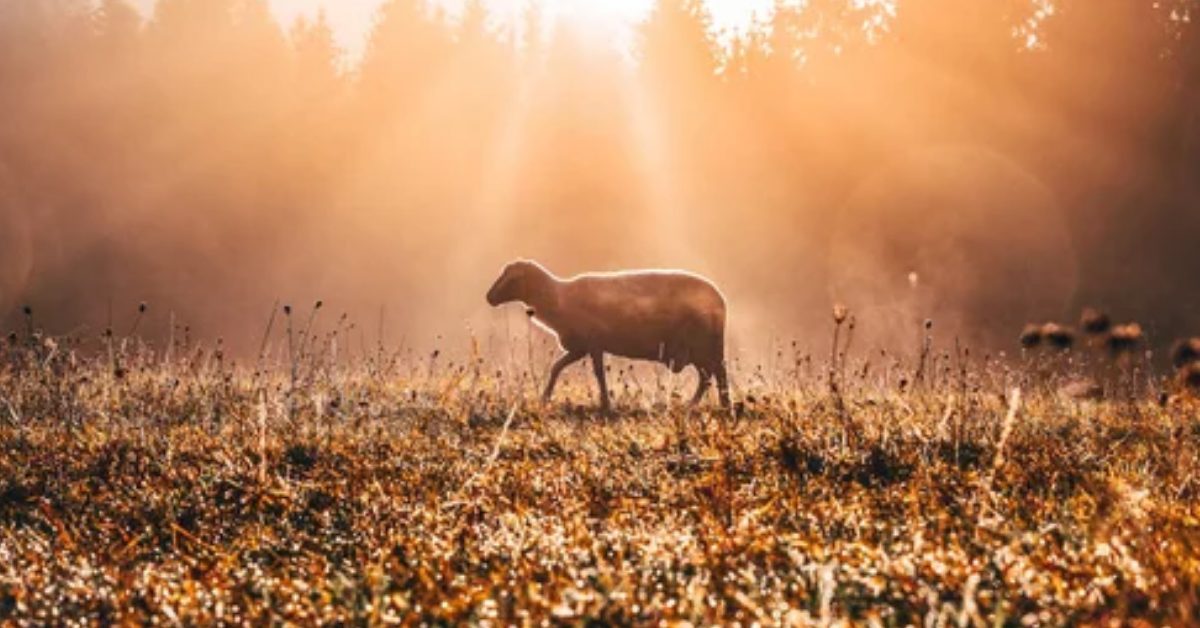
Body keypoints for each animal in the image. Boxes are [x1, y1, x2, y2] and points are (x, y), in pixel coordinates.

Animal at [486, 259, 730, 411]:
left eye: (511, 278)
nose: (488, 297)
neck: (558, 299)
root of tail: (720, 300)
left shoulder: (592, 343)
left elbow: (598, 373)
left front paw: (605, 404)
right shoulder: (580, 347)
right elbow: (557, 367)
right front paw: (545, 398)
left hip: (702, 345)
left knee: (714, 374)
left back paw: (719, 404)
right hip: (698, 349)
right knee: (708, 376)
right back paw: (712, 404)